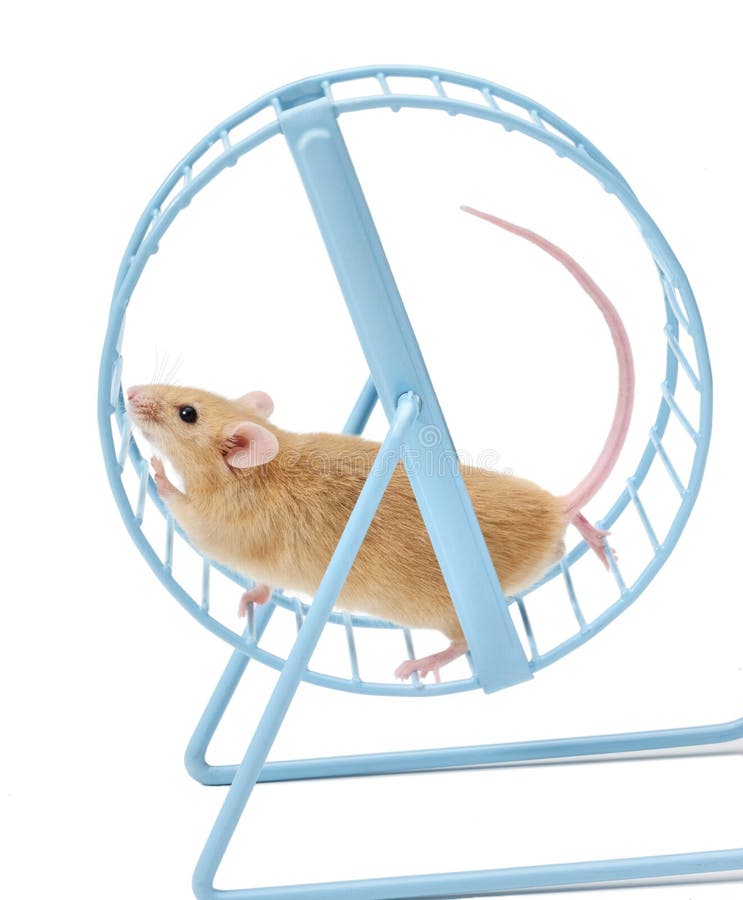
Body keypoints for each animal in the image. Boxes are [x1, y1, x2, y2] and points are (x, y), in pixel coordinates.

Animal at [127, 209, 633, 681]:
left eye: (187, 413)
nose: (129, 392)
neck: (263, 467)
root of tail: (552, 514)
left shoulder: (219, 525)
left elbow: (185, 511)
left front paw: (158, 471)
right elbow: (265, 588)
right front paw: (250, 599)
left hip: (450, 613)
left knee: (463, 644)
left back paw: (421, 663)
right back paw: (594, 537)